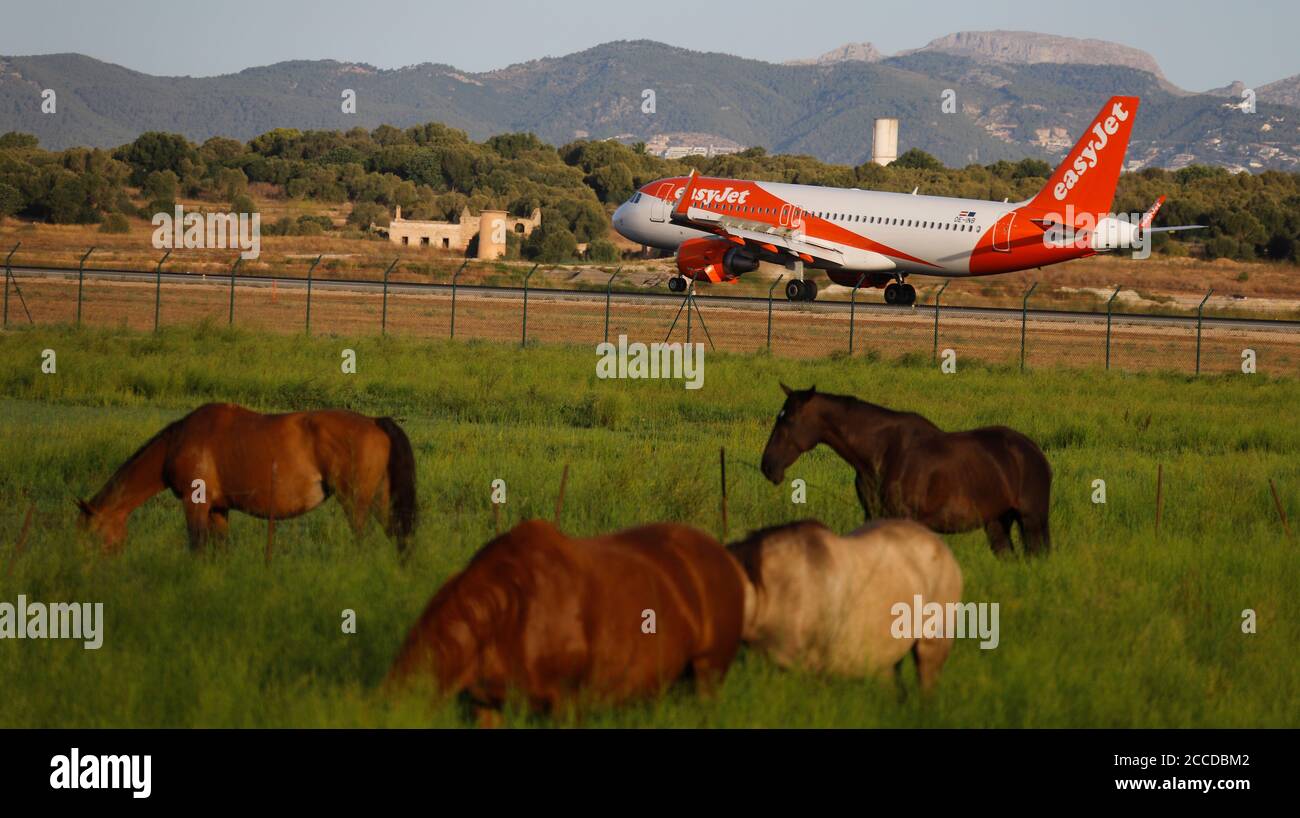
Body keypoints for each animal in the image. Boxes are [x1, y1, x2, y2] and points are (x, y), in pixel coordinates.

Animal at [76, 403, 417, 552]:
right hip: (380, 500)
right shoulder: (218, 509)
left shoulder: (195, 504)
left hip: (355, 503)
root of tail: (374, 422)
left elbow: (197, 547)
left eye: (90, 535)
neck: (179, 441)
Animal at [760, 384, 1052, 556]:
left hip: (1031, 520)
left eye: (790, 420)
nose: (767, 465)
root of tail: (1034, 451)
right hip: (997, 522)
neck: (882, 452)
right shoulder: (874, 516)